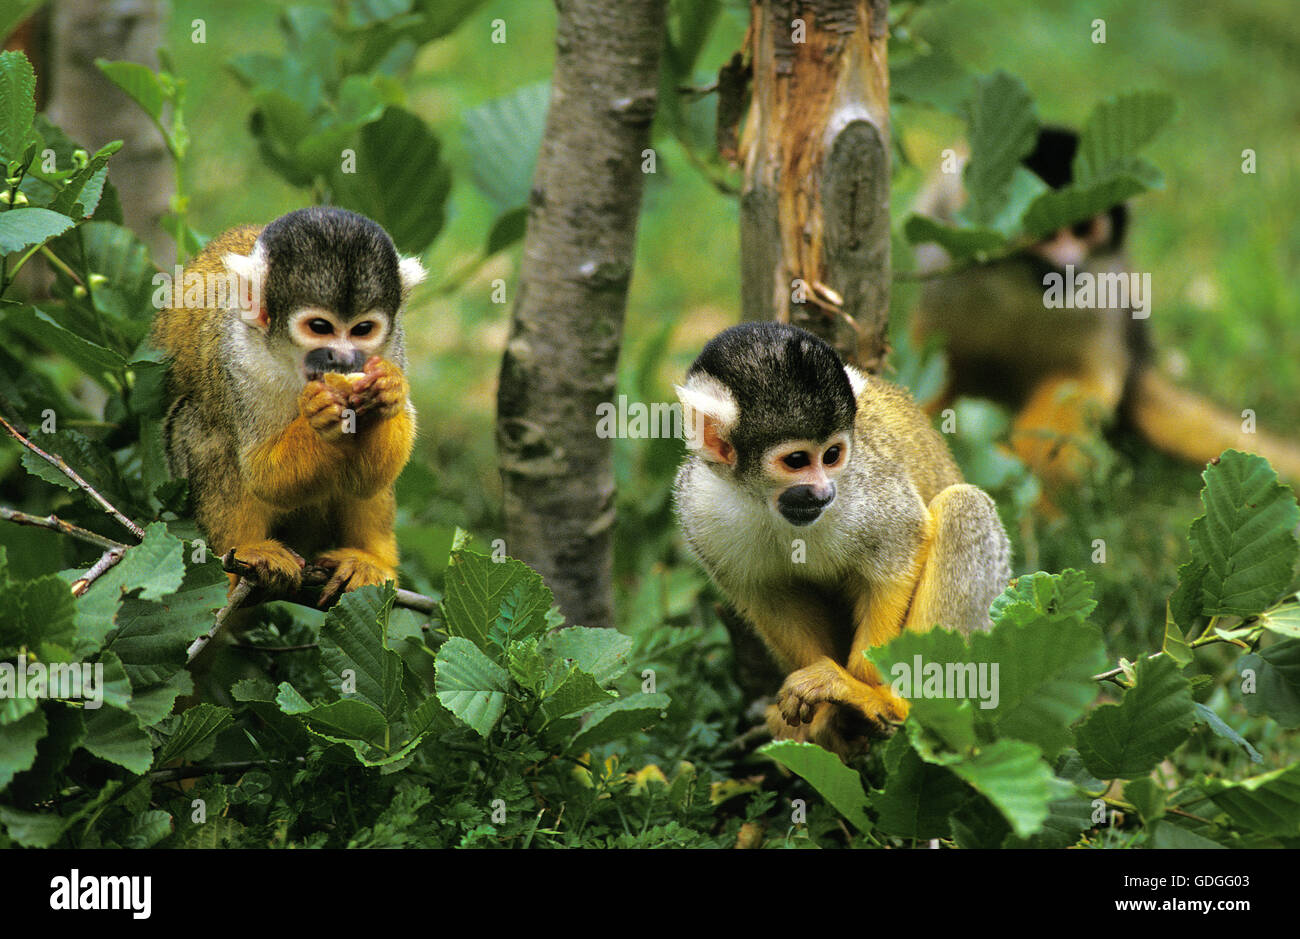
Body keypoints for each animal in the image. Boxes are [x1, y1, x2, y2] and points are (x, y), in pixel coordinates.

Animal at [152, 206, 426, 606]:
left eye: (362, 330)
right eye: (319, 327)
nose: (343, 360)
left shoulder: (393, 346)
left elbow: (371, 477)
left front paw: (386, 392)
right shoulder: (238, 357)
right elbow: (263, 475)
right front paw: (319, 418)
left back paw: (370, 561)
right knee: (205, 428)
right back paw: (248, 551)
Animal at [673, 322, 1011, 757]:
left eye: (832, 455)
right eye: (797, 461)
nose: (823, 492)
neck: (767, 504)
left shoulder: (865, 486)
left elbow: (899, 553)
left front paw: (854, 688)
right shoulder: (702, 509)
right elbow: (769, 595)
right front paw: (821, 714)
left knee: (964, 508)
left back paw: (898, 704)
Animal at [911, 127, 1300, 493]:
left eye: (1083, 229)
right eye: (1047, 234)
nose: (1068, 264)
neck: (1015, 285)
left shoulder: (1103, 289)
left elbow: (1083, 377)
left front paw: (1026, 471)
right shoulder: (942, 256)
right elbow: (930, 357)